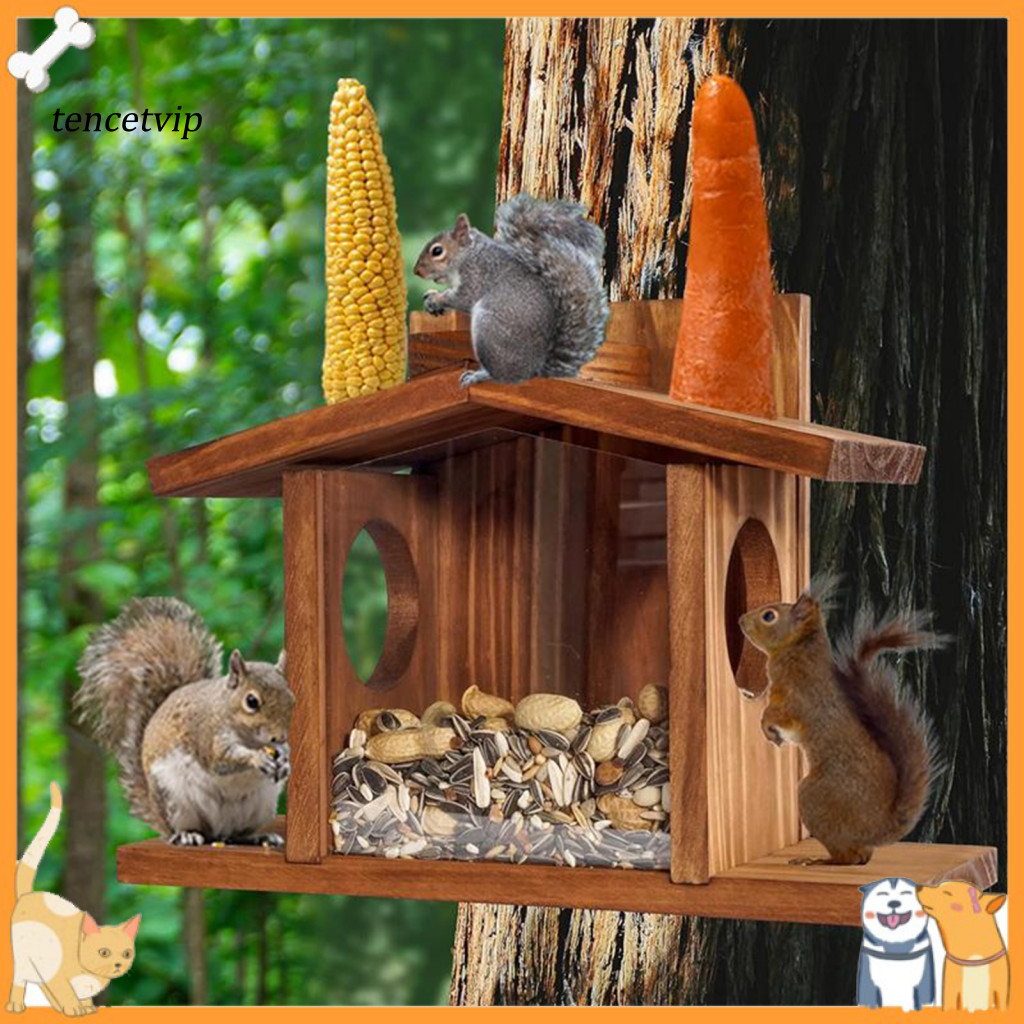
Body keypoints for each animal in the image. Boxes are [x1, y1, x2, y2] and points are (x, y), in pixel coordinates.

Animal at [75, 597, 294, 848]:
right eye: (251, 701)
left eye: (292, 698)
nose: (279, 737)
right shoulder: (207, 734)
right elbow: (221, 759)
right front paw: (256, 758)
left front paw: (285, 761)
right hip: (174, 800)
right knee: (188, 829)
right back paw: (187, 834)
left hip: (260, 806)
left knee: (236, 834)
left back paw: (259, 837)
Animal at [413, 193, 609, 387]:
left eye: (437, 251)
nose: (416, 271)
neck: (468, 254)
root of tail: (533, 369)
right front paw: (431, 295)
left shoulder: (477, 275)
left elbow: (463, 298)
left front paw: (436, 299)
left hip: (488, 328)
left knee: (502, 376)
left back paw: (479, 375)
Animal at [739, 580, 941, 866]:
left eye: (769, 616)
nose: (740, 619)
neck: (798, 650)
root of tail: (877, 828)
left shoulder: (796, 698)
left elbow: (777, 715)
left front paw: (767, 727)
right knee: (862, 856)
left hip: (816, 799)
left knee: (849, 857)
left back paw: (820, 861)